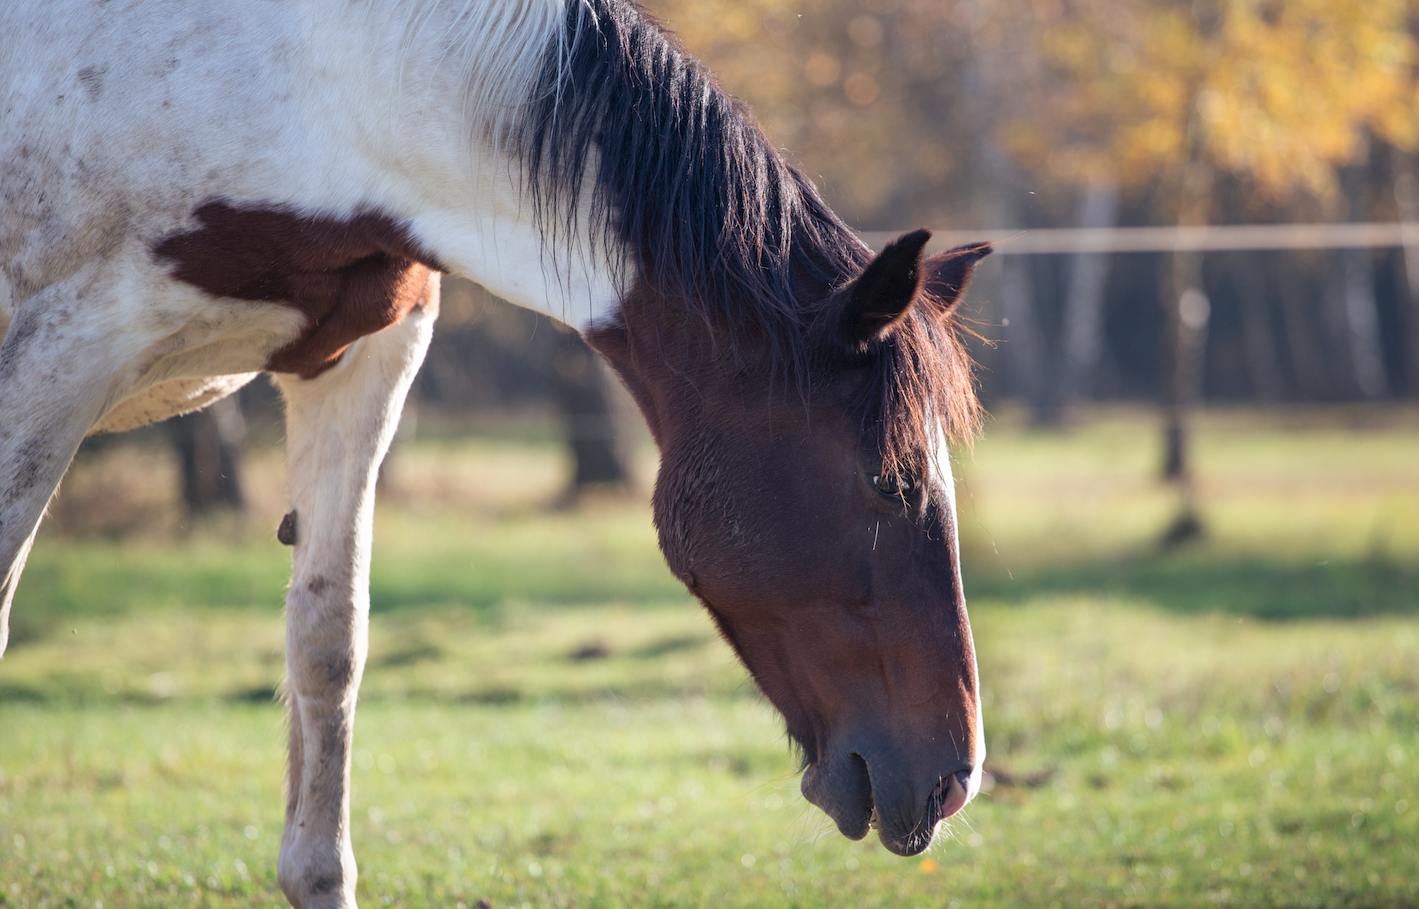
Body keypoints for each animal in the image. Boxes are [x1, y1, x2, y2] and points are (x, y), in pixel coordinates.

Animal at [0, 1, 990, 905]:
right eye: (890, 483)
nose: (953, 779)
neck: (310, 77)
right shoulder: (64, 355)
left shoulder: (362, 355)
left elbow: (329, 640)